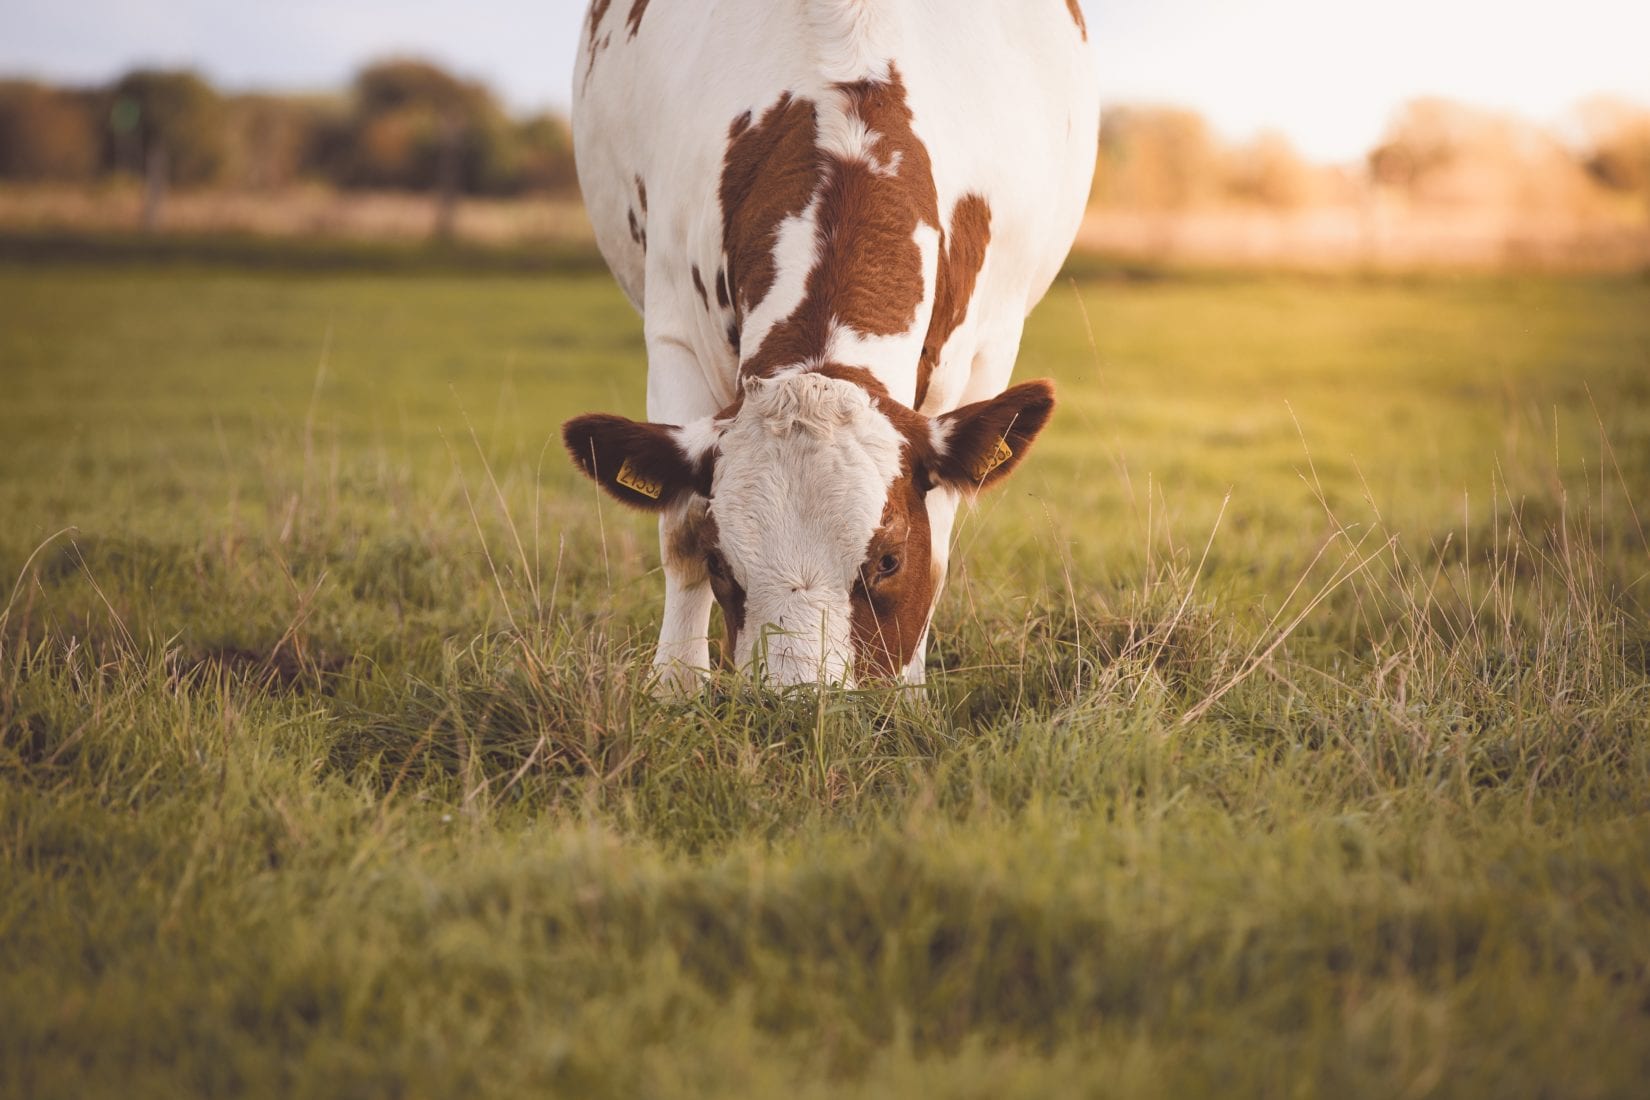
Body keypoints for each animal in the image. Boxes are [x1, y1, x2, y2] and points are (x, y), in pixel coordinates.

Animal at [565, 0, 1098, 688]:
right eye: (722, 563)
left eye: (889, 560)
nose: (800, 701)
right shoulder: (674, 329)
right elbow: (679, 529)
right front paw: (675, 689)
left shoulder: (985, 351)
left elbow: (940, 540)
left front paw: (908, 692)